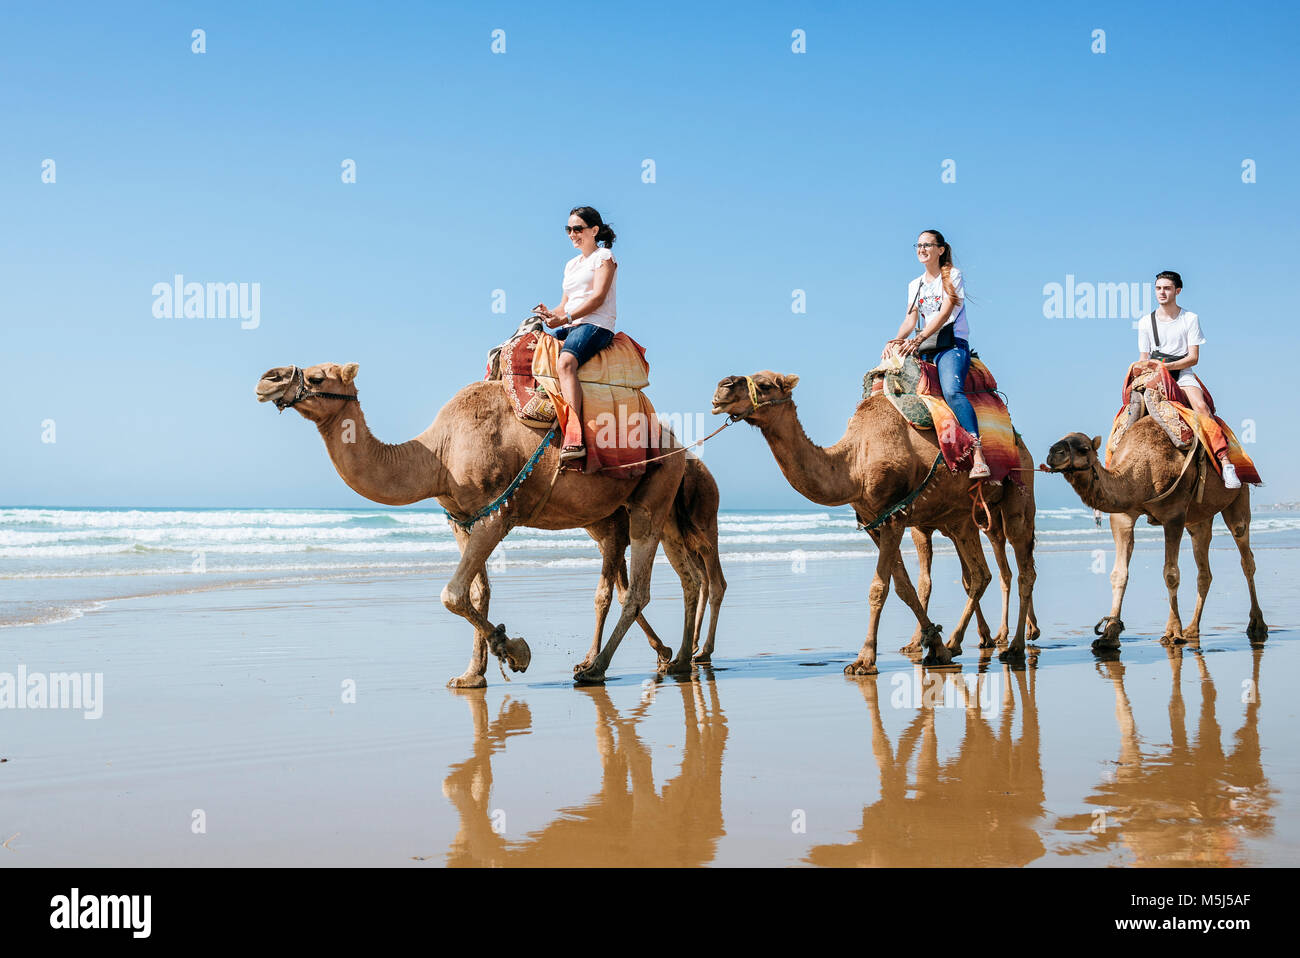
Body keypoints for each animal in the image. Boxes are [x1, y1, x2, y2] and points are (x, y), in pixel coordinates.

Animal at [255, 361, 690, 686]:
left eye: (316, 377)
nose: (268, 379)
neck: (437, 454)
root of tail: (673, 438)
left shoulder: (497, 513)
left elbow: (451, 594)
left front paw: (514, 651)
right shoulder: (462, 520)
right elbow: (476, 594)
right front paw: (472, 675)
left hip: (656, 490)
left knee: (640, 589)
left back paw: (606, 668)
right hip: (606, 515)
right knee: (616, 582)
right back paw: (654, 656)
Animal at [711, 371, 1037, 672]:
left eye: (765, 385)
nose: (721, 388)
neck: (854, 463)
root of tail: (1019, 440)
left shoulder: (894, 517)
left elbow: (879, 587)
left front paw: (864, 659)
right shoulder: (874, 521)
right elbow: (904, 586)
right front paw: (935, 646)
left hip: (1018, 495)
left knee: (1023, 570)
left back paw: (1015, 647)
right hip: (960, 518)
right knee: (980, 575)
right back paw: (960, 641)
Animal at [1044, 422, 1267, 651]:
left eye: (1084, 448)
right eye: (1059, 441)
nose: (1054, 452)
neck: (1141, 469)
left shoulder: (1174, 514)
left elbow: (1171, 574)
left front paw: (1173, 632)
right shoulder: (1123, 516)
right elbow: (1119, 574)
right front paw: (1109, 634)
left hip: (1238, 496)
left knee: (1245, 554)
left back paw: (1257, 624)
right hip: (1198, 518)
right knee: (1204, 569)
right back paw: (1192, 629)